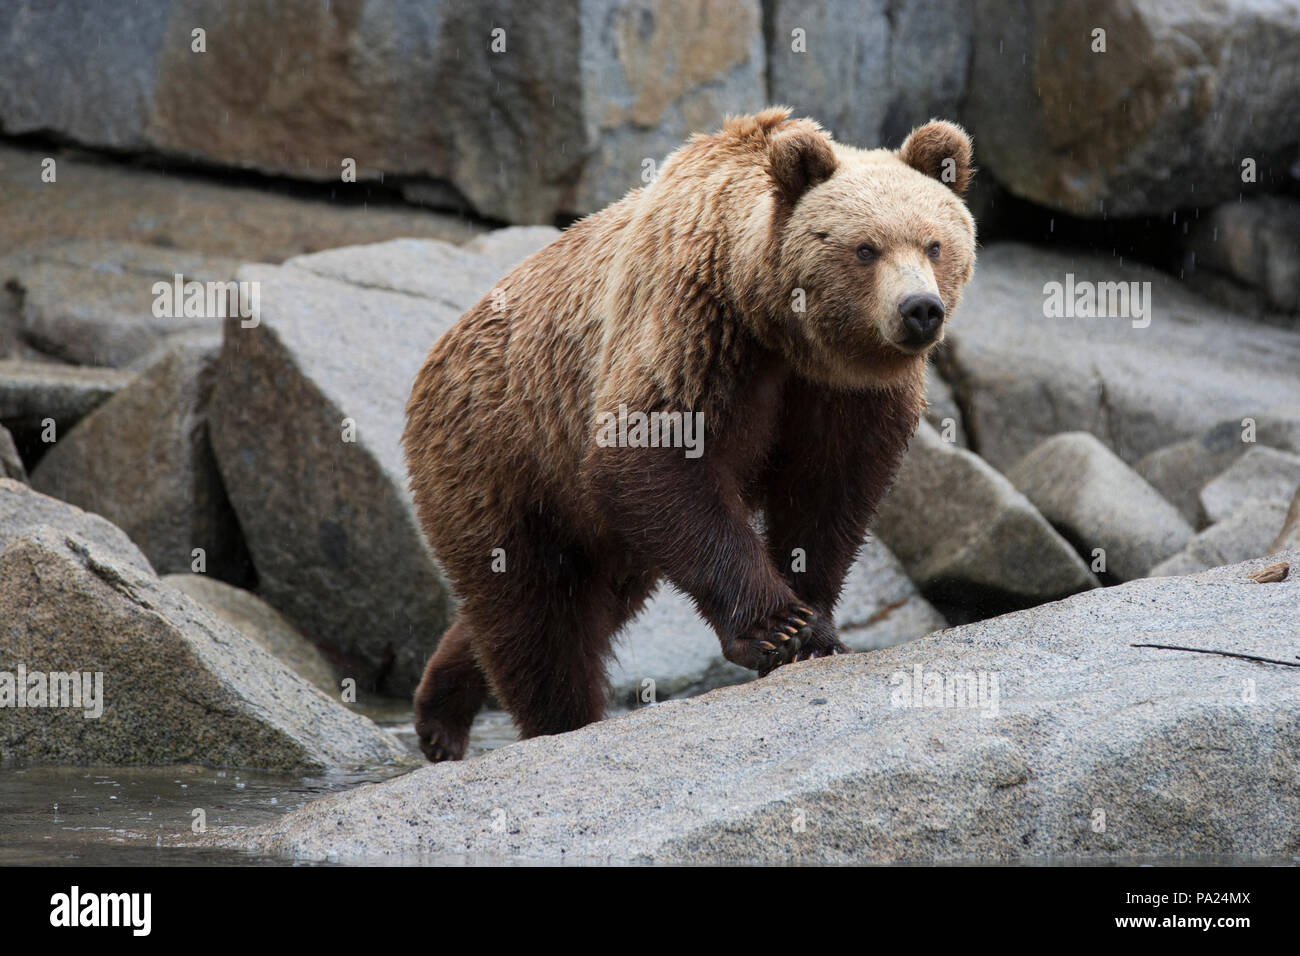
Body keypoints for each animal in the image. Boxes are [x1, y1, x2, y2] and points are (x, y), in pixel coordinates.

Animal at [403, 106, 977, 764]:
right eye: (865, 248)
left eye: (934, 244)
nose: (919, 309)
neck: (776, 327)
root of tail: (432, 363)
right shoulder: (692, 330)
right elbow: (653, 457)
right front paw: (778, 627)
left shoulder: (843, 397)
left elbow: (830, 496)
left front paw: (816, 626)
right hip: (501, 459)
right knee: (536, 613)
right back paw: (558, 721)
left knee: (568, 602)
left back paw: (441, 712)